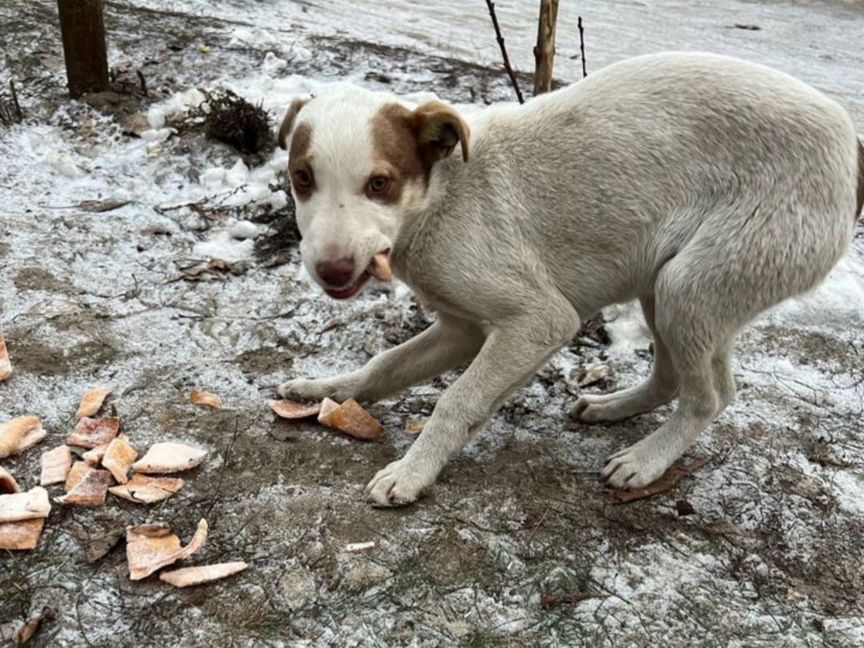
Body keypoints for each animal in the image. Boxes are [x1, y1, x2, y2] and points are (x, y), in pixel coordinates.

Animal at [276, 52, 864, 506]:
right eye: (302, 178)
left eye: (380, 183)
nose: (331, 269)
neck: (442, 196)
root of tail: (850, 144)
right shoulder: (460, 329)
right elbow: (384, 366)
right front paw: (326, 390)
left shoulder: (538, 320)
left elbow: (457, 401)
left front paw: (411, 472)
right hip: (660, 280)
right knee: (672, 378)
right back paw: (610, 408)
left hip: (691, 285)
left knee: (710, 397)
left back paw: (647, 460)